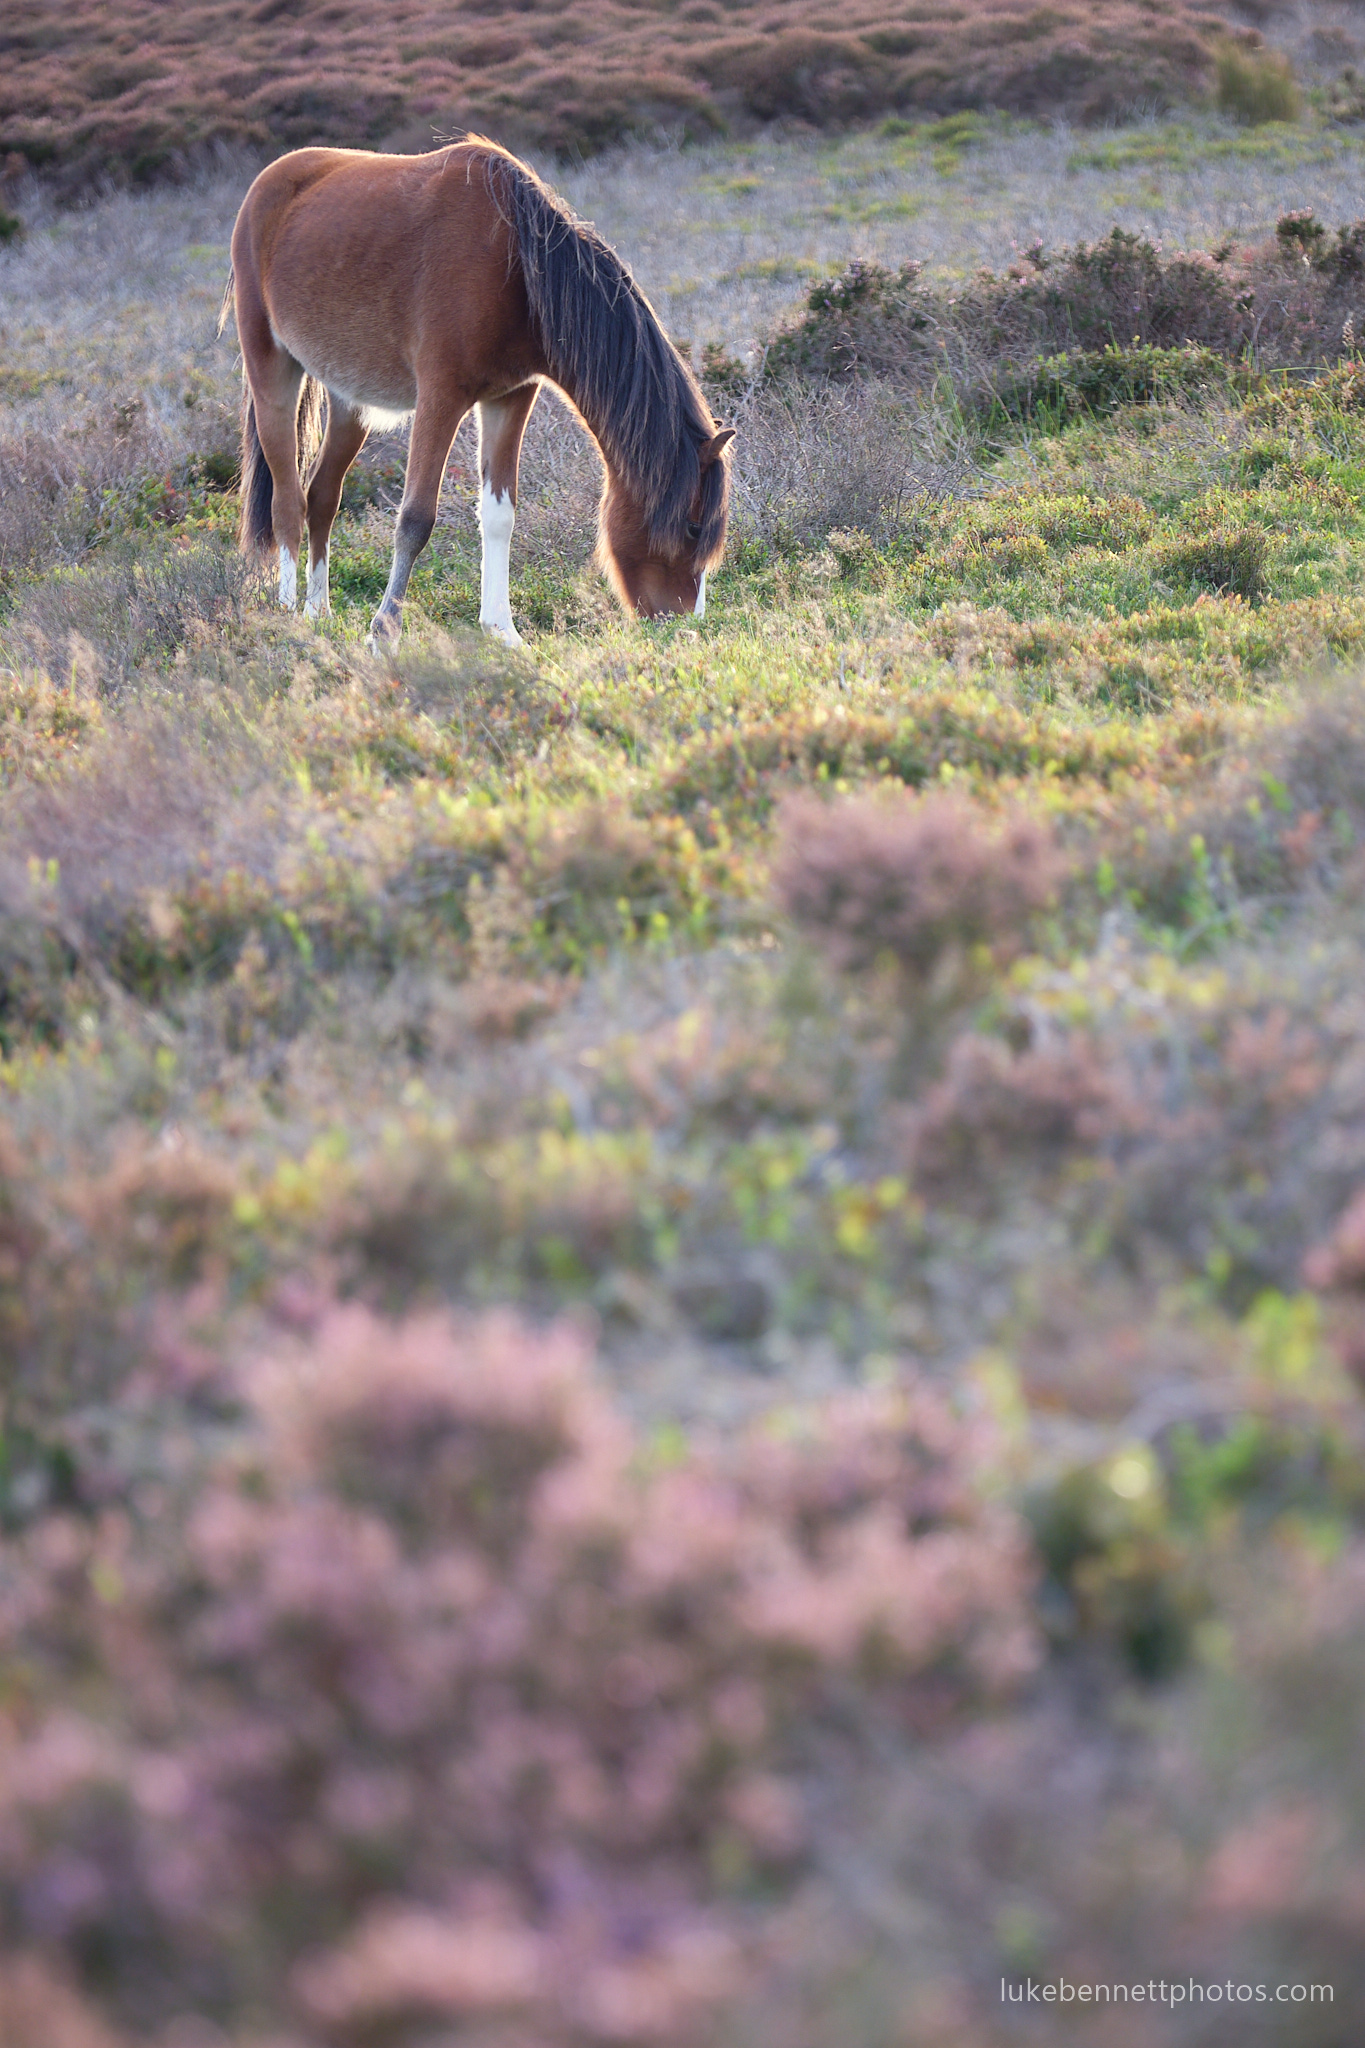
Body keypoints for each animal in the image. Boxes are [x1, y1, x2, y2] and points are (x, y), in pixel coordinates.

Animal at [223, 137, 735, 648]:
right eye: (693, 527)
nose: (686, 623)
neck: (517, 267)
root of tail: (267, 184)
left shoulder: (510, 397)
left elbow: (498, 515)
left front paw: (502, 630)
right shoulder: (441, 396)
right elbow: (415, 519)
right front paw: (385, 632)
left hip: (351, 402)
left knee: (322, 497)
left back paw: (318, 611)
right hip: (272, 374)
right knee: (287, 502)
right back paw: (288, 612)